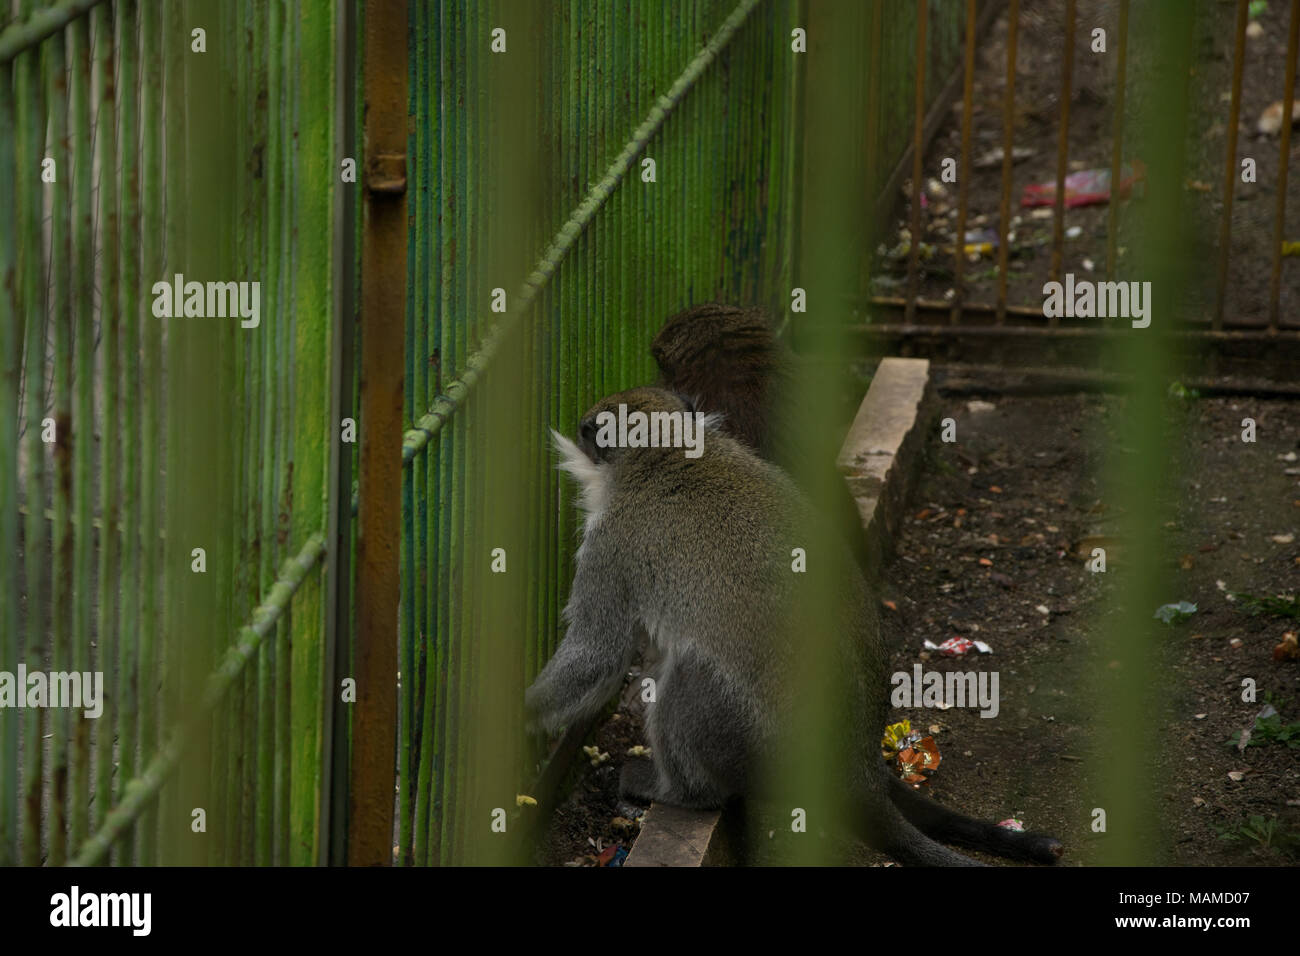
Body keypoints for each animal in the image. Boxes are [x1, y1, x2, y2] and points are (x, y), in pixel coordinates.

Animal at [525, 387, 1062, 866]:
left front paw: (517, 715)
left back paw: (680, 791)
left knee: (688, 676)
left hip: (754, 746)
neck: (670, 451)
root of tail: (856, 768)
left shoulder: (611, 543)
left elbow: (597, 653)